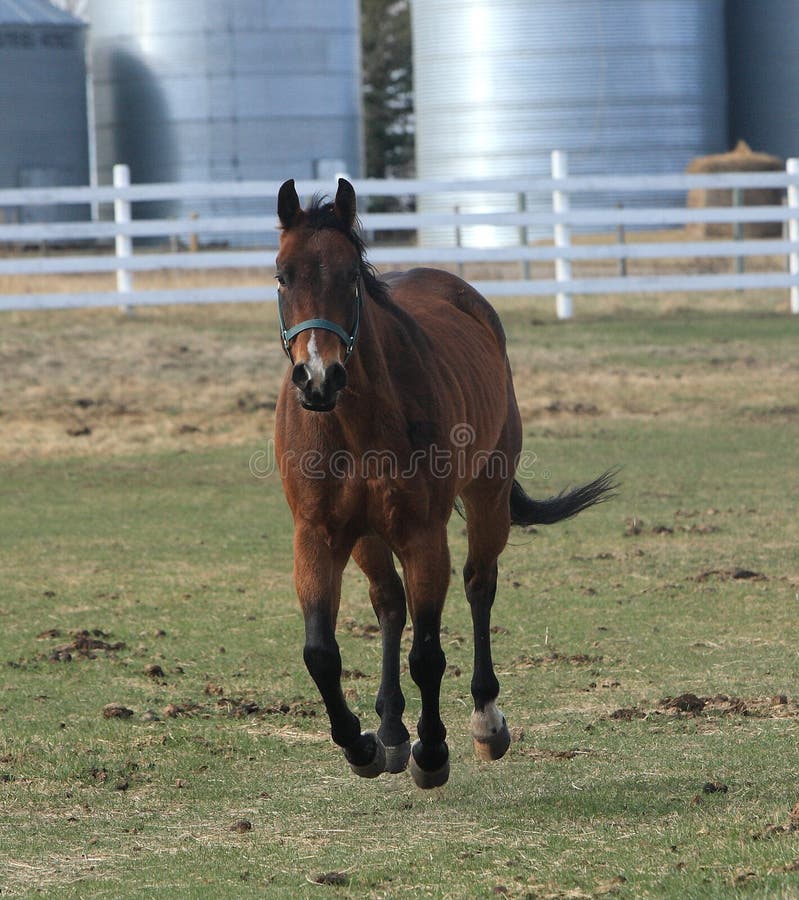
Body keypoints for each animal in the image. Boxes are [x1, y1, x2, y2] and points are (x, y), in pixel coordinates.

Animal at [273, 178, 616, 788]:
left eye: (349, 275)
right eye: (283, 275)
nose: (318, 378)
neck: (355, 422)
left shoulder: (423, 535)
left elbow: (428, 653)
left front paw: (431, 751)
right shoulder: (317, 535)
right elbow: (322, 652)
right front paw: (361, 744)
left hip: (487, 499)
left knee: (479, 585)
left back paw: (484, 720)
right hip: (367, 536)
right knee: (389, 603)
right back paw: (389, 730)